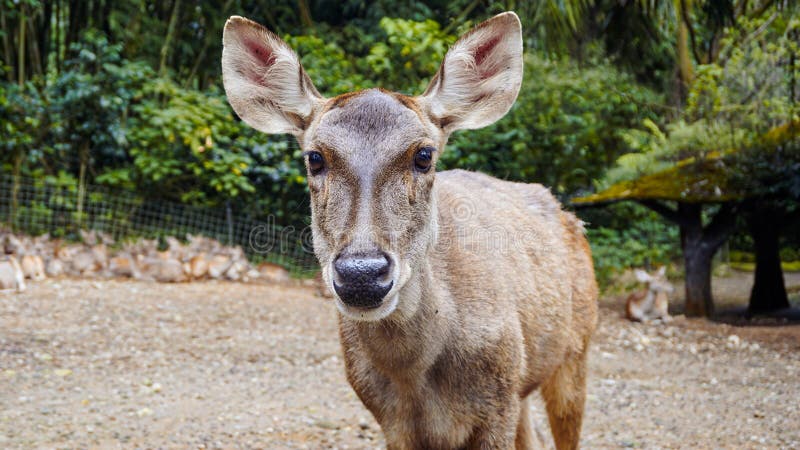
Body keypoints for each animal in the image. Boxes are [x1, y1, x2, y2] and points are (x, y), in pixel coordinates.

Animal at [222, 12, 598, 449]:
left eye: (424, 155)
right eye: (314, 157)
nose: (362, 275)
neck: (418, 378)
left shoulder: (498, 404)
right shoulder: (392, 422)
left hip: (574, 350)